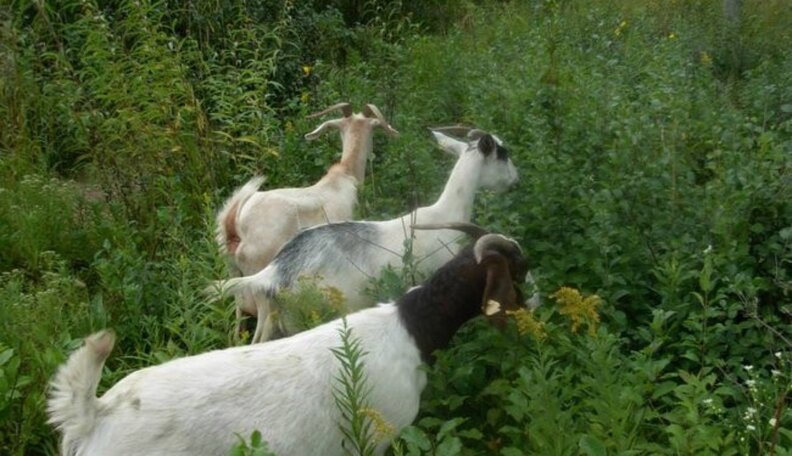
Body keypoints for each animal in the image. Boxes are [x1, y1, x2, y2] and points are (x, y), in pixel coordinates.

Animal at [212, 127, 520, 343]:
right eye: (503, 154)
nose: (515, 181)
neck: (444, 214)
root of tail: (274, 272)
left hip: (268, 316)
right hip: (301, 319)